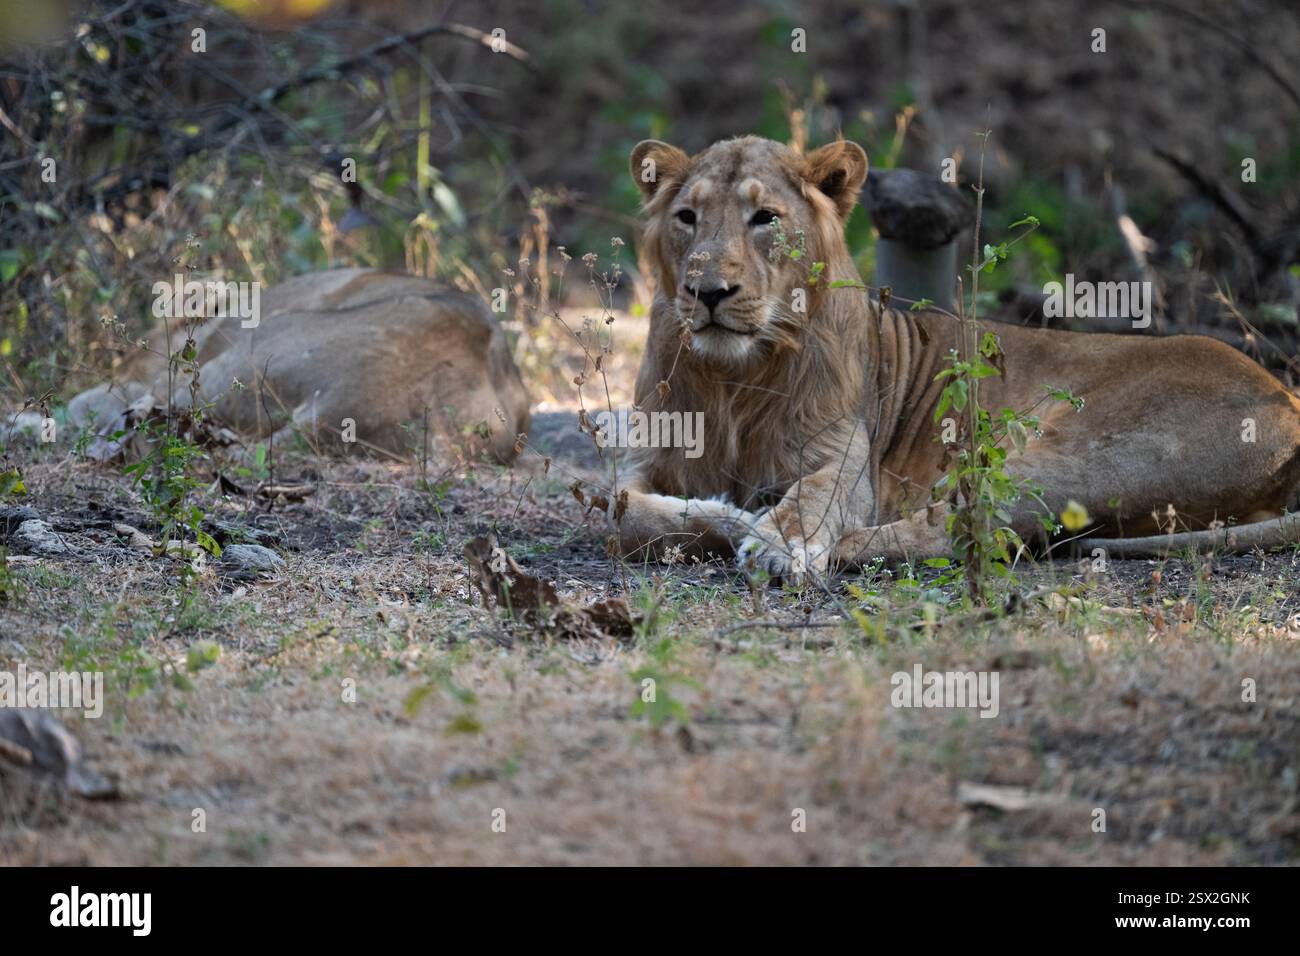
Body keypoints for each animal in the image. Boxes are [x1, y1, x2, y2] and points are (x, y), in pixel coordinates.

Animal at [615, 135, 1300, 578]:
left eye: (765, 217)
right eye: (687, 217)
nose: (708, 292)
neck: (735, 379)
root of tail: (1286, 399)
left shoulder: (846, 460)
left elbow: (816, 495)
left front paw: (776, 537)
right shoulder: (648, 455)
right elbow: (628, 514)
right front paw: (730, 515)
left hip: (1079, 451)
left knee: (973, 527)